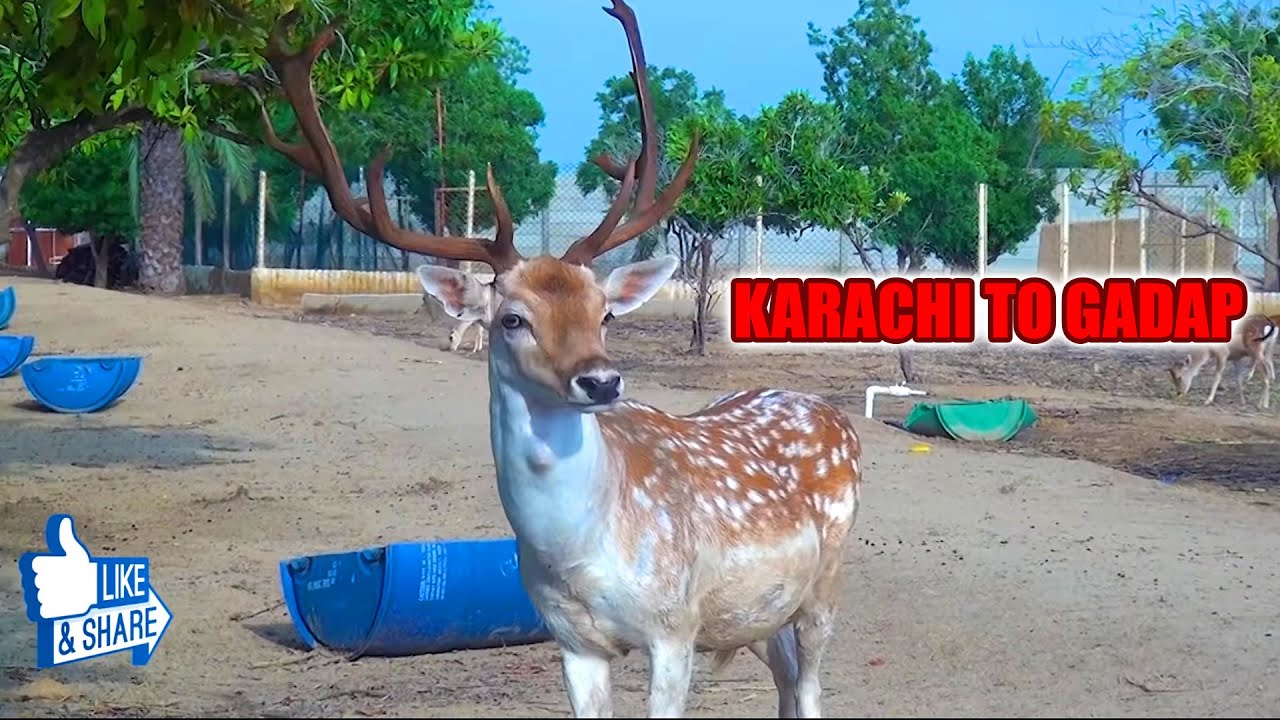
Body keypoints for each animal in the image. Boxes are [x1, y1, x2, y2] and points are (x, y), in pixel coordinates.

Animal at [256, 3, 863, 717]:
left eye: (604, 313)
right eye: (512, 319)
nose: (601, 381)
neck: (578, 554)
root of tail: (828, 410)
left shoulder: (673, 626)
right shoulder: (572, 641)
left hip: (824, 581)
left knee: (811, 683)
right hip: (762, 614)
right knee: (787, 682)